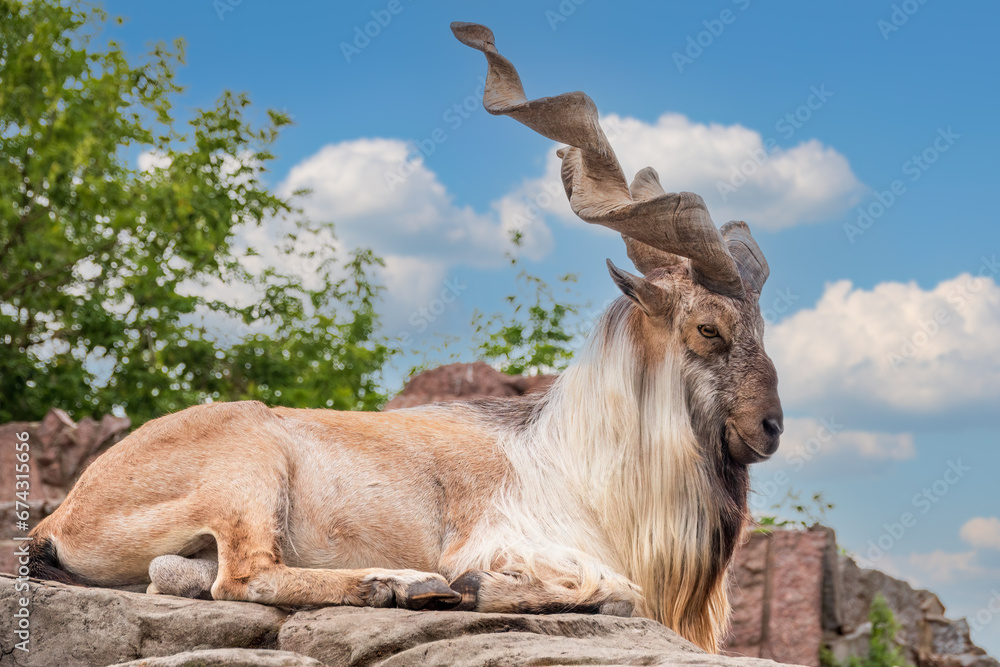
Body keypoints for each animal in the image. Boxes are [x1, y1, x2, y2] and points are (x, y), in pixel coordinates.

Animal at [28, 22, 782, 652]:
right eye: (709, 328)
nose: (770, 427)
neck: (580, 462)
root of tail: (63, 514)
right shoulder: (510, 539)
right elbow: (619, 593)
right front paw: (475, 588)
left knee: (178, 575)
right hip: (247, 467)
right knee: (241, 574)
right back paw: (398, 583)